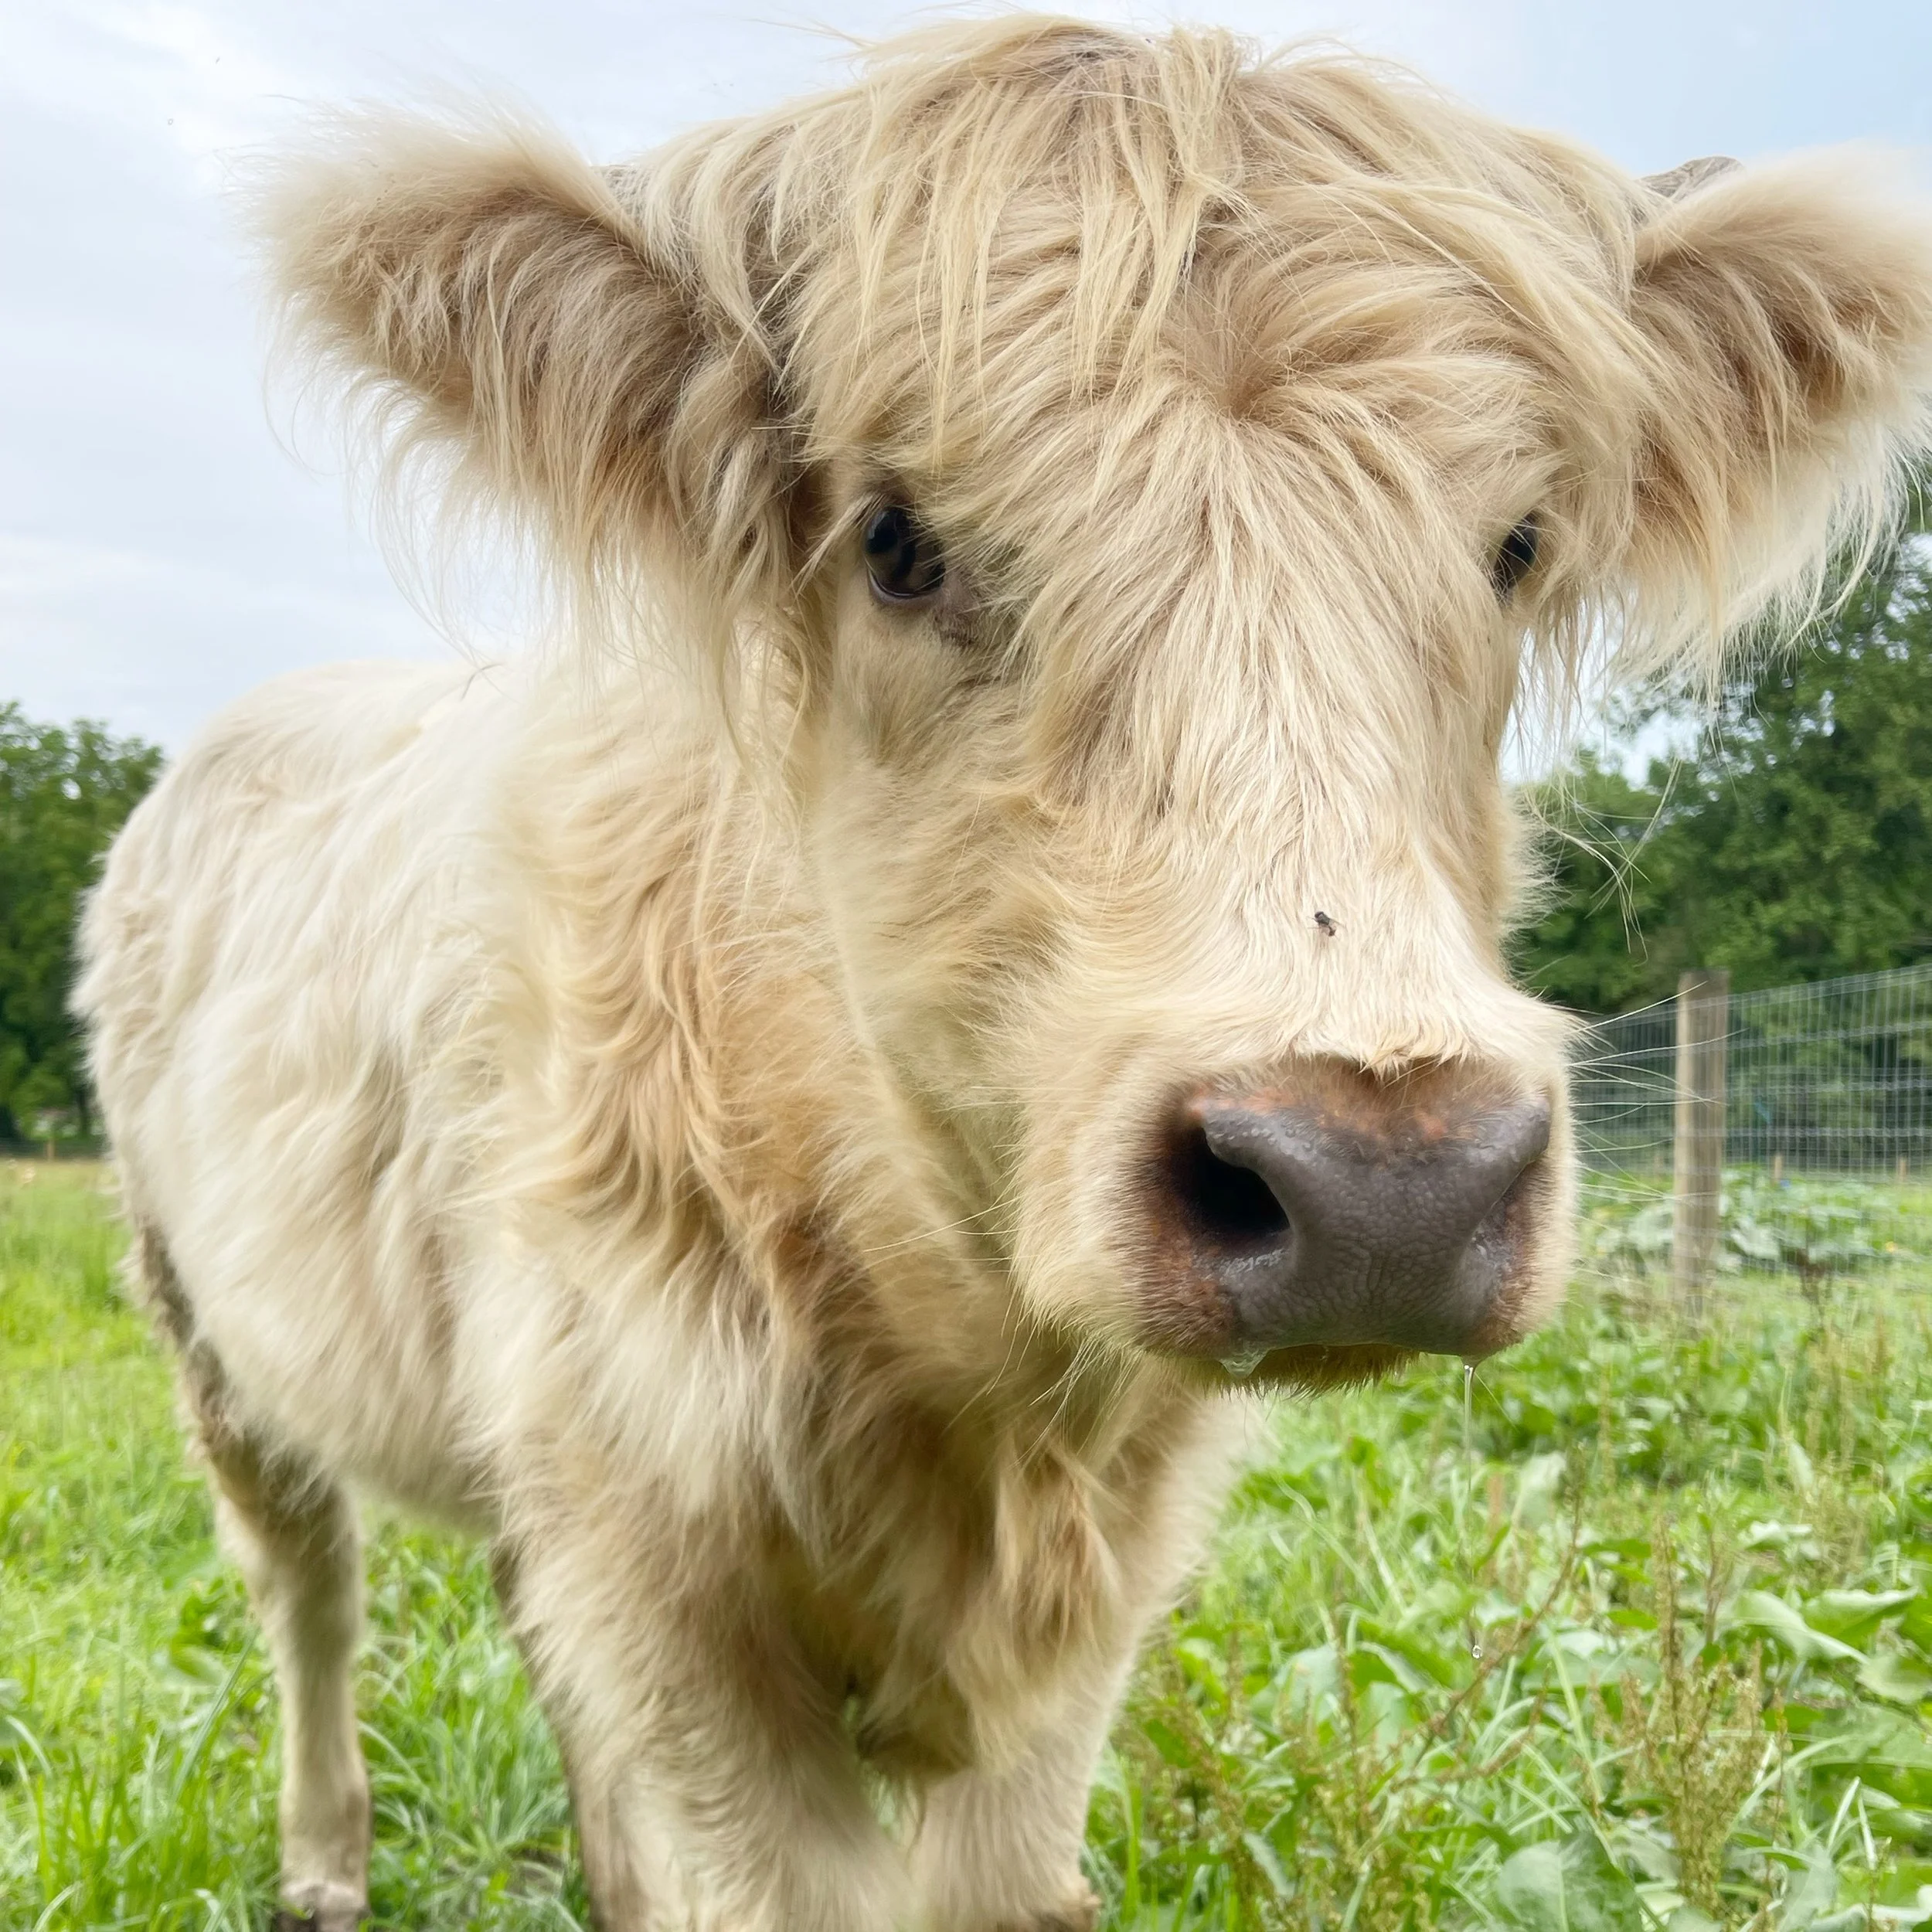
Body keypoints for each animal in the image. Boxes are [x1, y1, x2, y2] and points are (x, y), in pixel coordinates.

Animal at [77, 16, 1932, 1930]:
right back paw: (323, 1860)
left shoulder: (1076, 1588)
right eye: (897, 539)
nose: (1381, 1185)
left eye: (1514, 544)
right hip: (209, 1324)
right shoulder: (664, 1558)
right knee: (306, 1584)